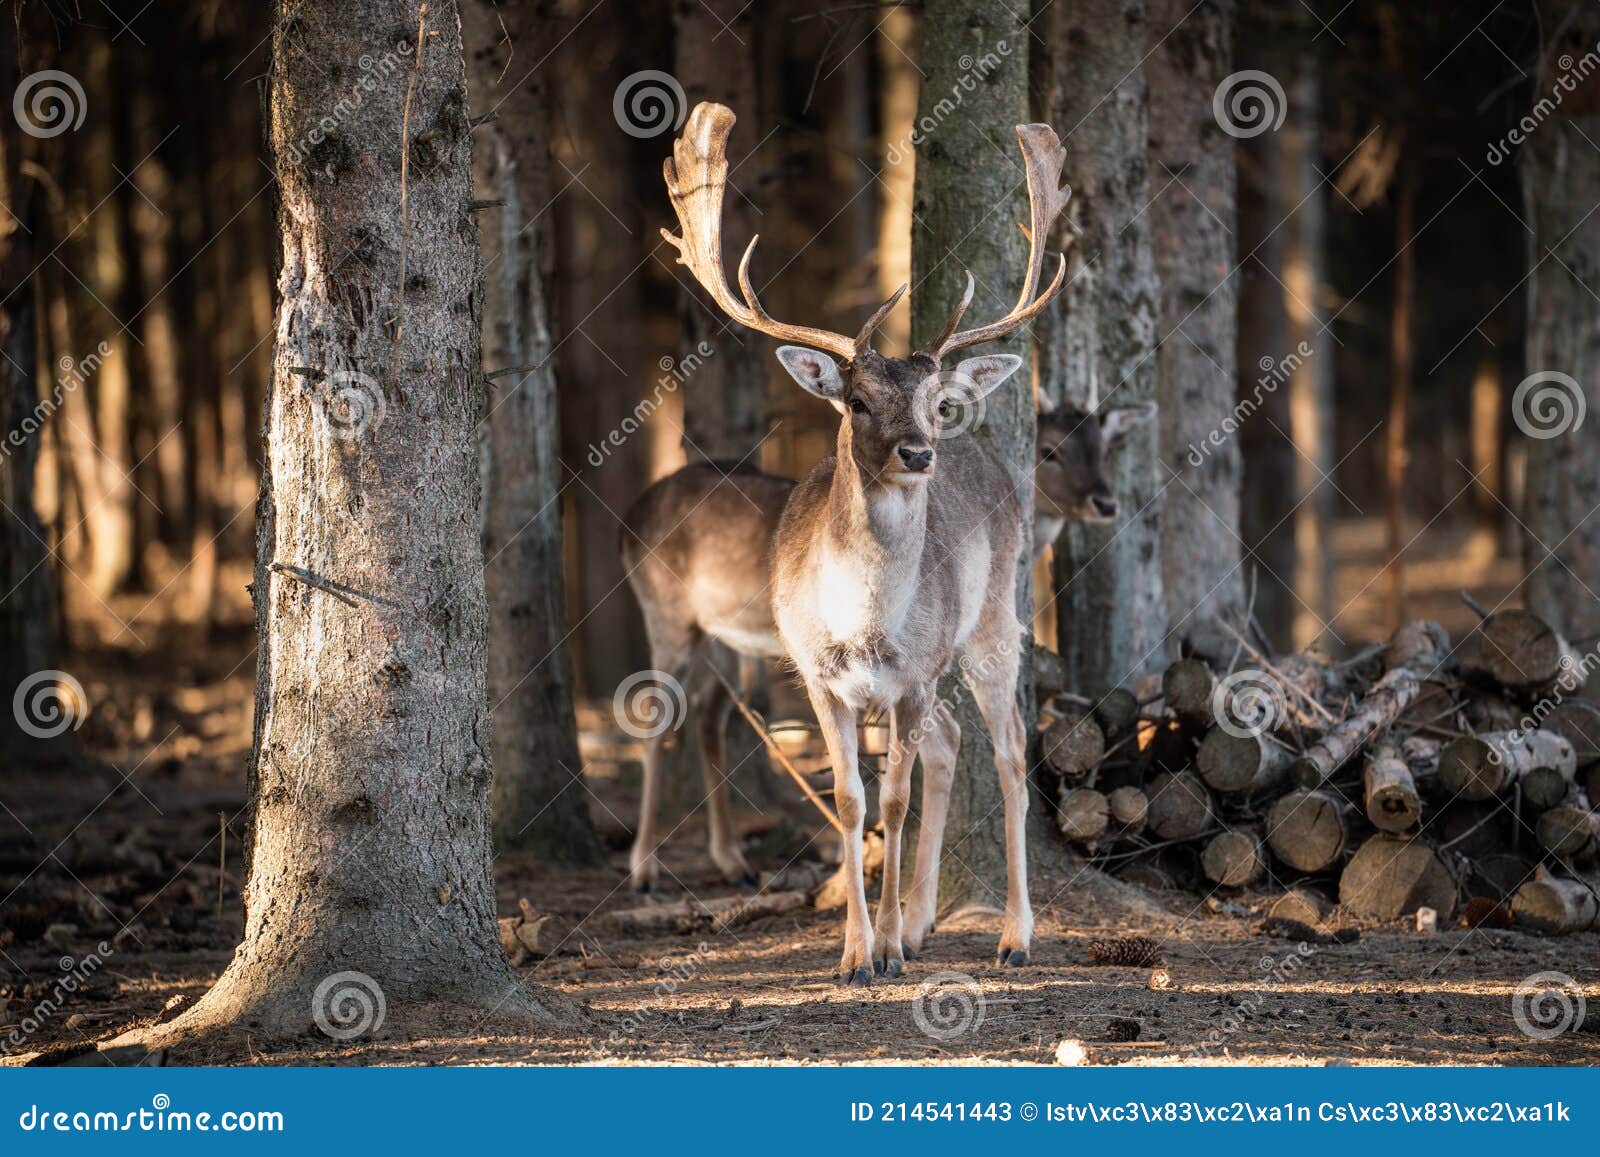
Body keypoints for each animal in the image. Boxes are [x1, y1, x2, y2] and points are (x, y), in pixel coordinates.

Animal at [620, 399, 1153, 895]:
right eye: (1050, 451)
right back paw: (643, 870)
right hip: (663, 612)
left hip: (720, 636)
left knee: (708, 716)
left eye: (1103, 447)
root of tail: (630, 517)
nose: (1106, 503)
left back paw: (735, 863)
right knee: (654, 716)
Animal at [651, 101, 1087, 984]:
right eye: (855, 400)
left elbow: (894, 797)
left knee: (1008, 754)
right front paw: (856, 950)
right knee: (952, 747)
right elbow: (852, 801)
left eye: (936, 400)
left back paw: (1013, 934)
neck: (861, 623)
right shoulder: (818, 674)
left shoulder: (912, 674)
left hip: (992, 625)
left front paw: (881, 948)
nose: (919, 451)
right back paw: (919, 925)